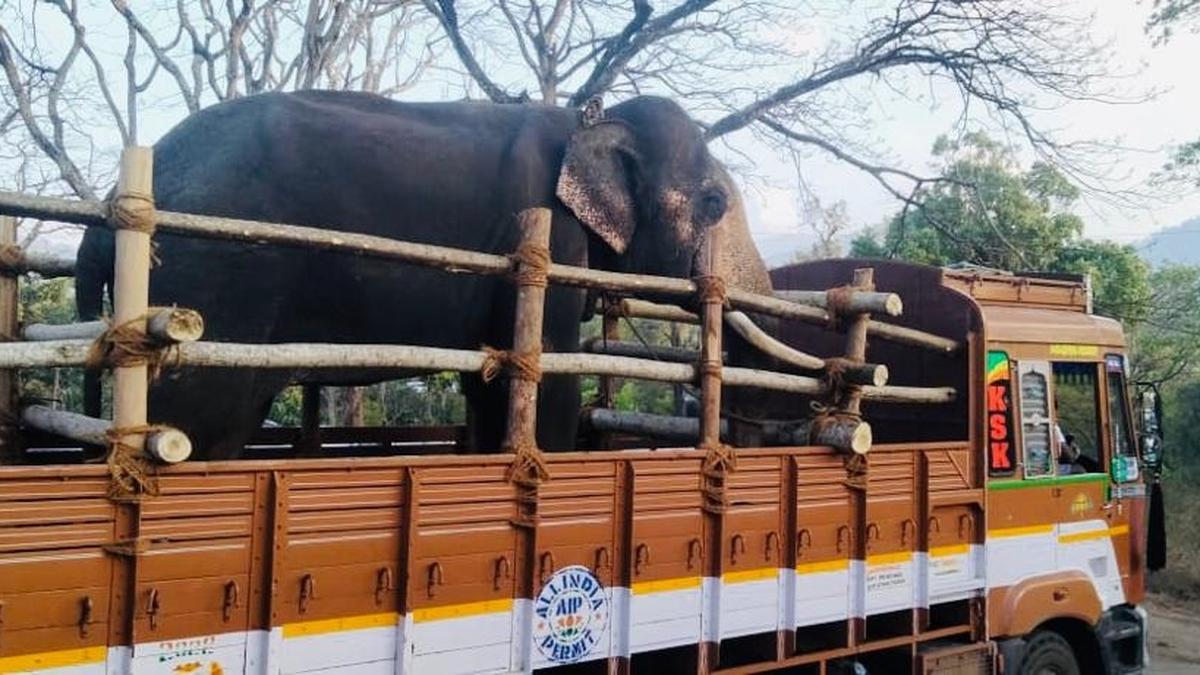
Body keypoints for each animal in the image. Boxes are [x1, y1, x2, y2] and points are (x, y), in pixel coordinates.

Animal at [75, 91, 732, 459]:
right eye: (716, 204)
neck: (590, 120)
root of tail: (110, 204)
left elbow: (490, 382)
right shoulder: (551, 227)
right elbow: (549, 373)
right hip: (218, 271)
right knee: (202, 418)